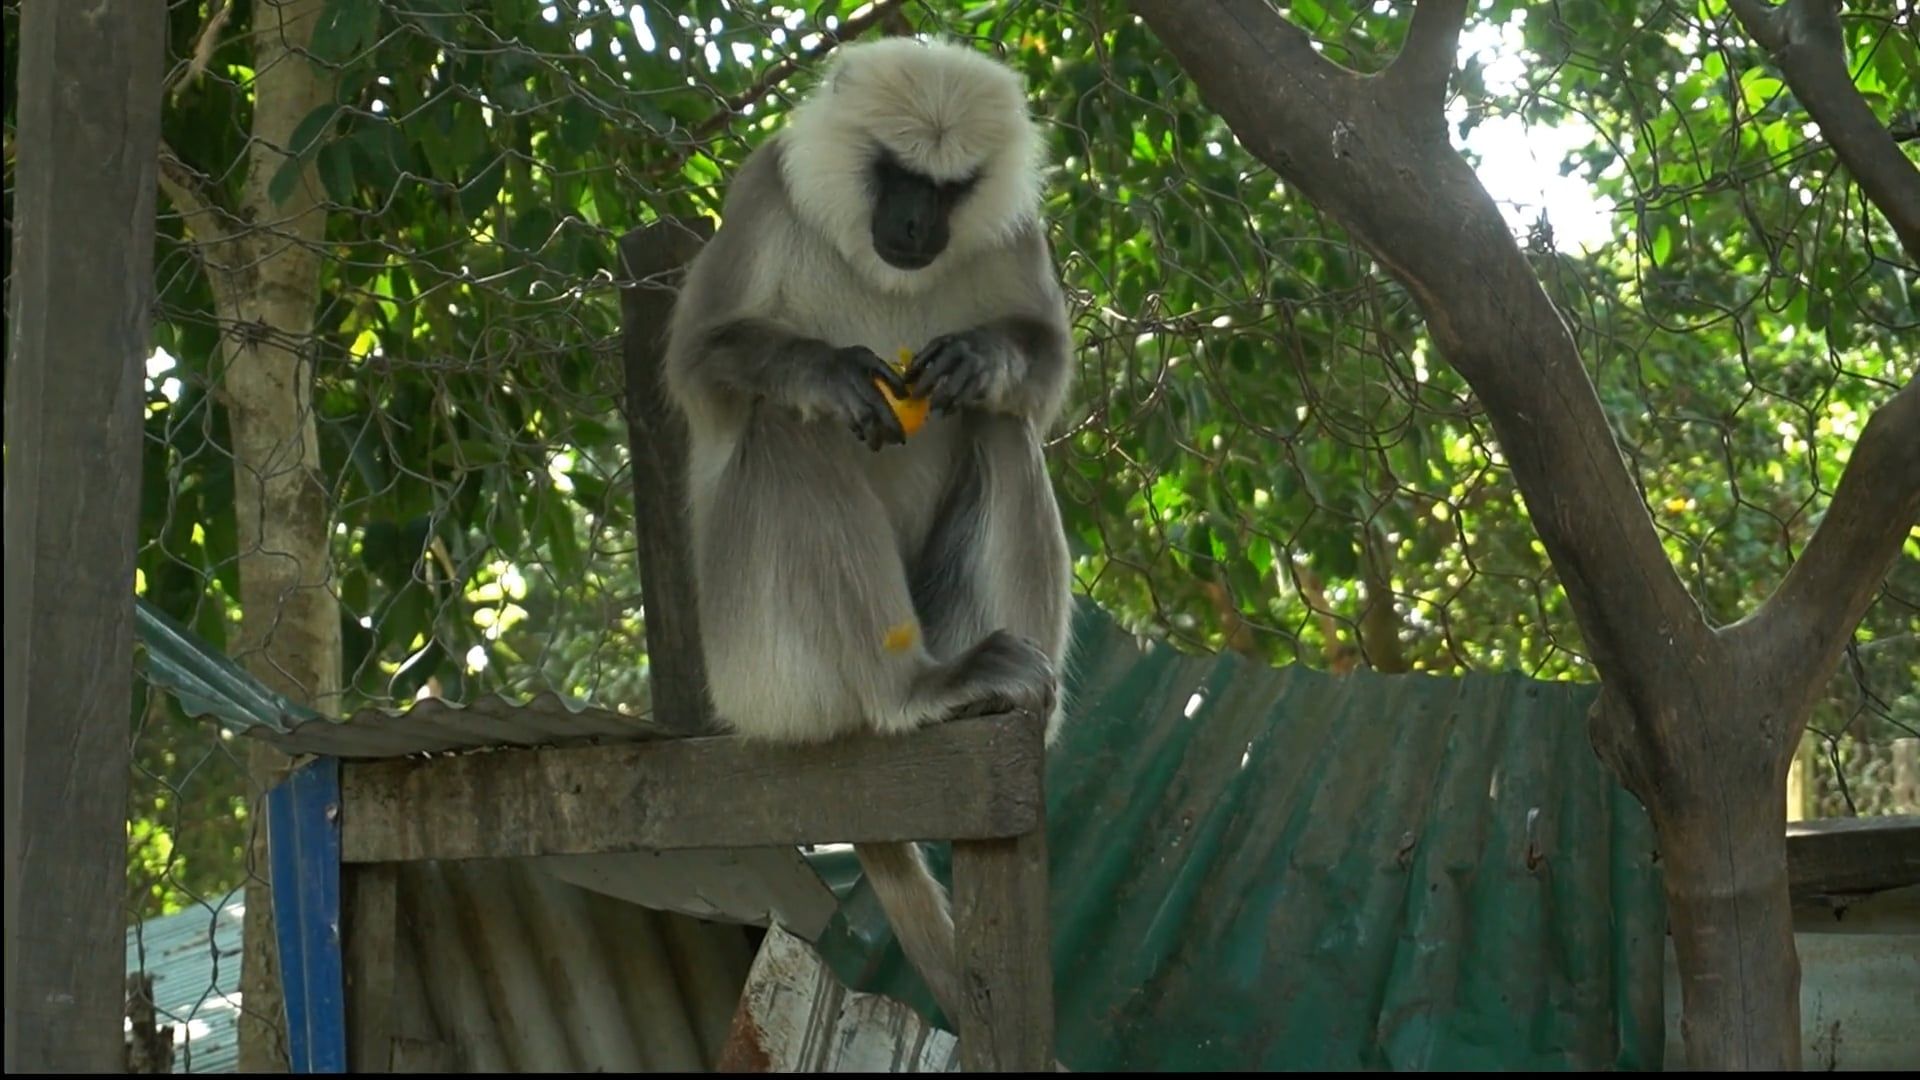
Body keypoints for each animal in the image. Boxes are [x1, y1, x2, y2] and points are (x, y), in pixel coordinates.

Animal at [660, 36, 1074, 1026]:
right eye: (893, 173)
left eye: (951, 187)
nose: (916, 224)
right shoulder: (765, 191)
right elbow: (700, 365)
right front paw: (821, 370)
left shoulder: (1016, 234)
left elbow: (1039, 373)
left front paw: (988, 355)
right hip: (772, 677)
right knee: (787, 428)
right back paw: (912, 690)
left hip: (941, 614)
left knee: (1001, 426)